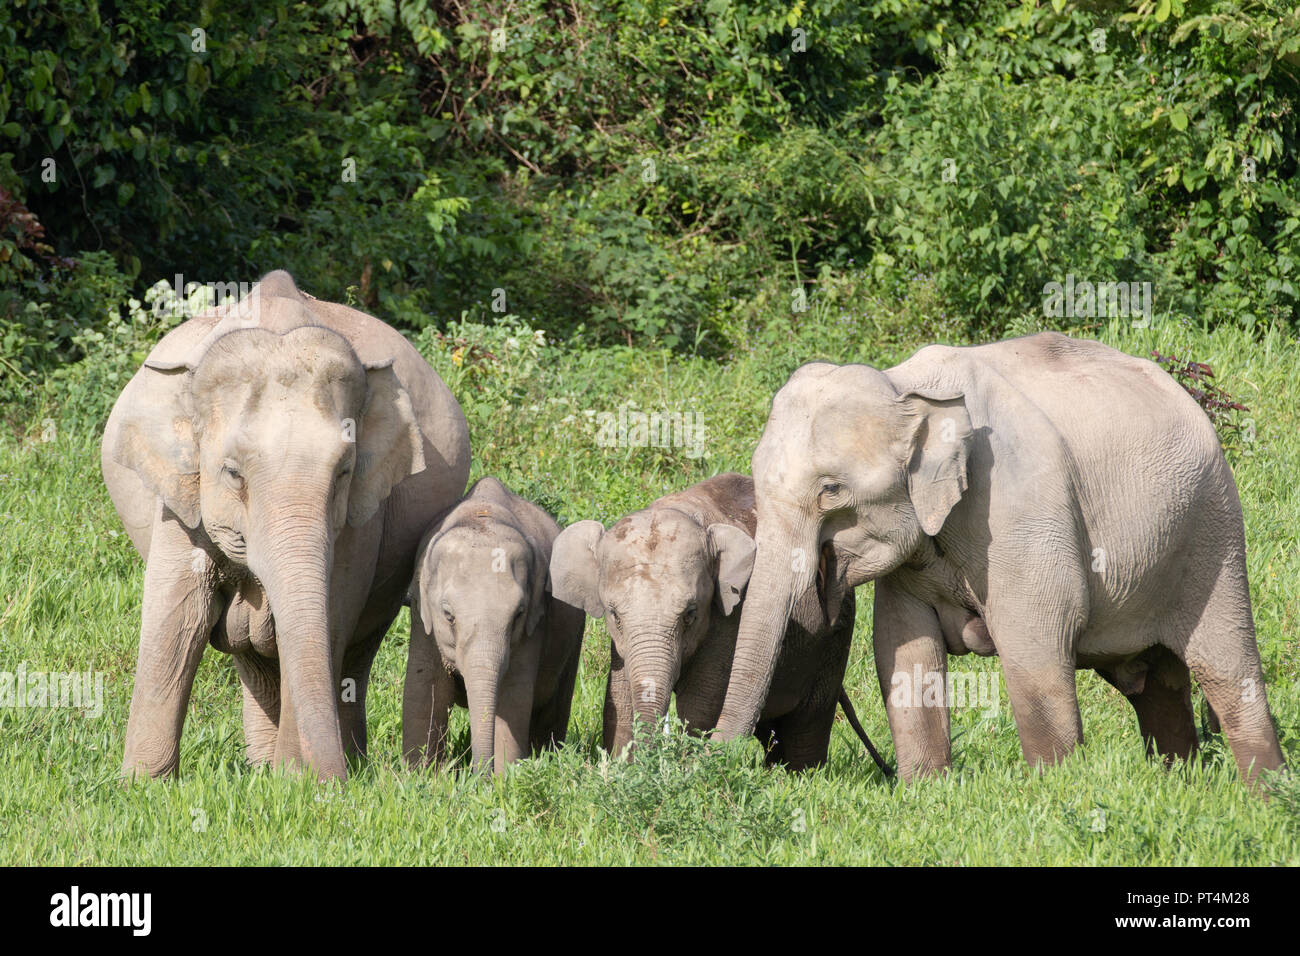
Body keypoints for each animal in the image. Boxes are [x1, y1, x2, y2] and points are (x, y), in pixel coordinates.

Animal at [102, 270, 470, 782]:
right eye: (232, 473)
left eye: (344, 472)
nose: (333, 782)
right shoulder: (179, 498)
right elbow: (178, 613)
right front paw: (143, 784)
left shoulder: (361, 517)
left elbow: (330, 618)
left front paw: (297, 782)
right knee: (252, 654)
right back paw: (264, 767)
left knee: (352, 648)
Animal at [403, 477, 585, 774]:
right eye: (448, 615)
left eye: (518, 615)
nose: (478, 777)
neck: (482, 515)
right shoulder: (423, 618)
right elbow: (425, 686)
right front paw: (421, 775)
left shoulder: (536, 623)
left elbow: (513, 695)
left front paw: (505, 778)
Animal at [551, 472, 890, 773]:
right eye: (614, 615)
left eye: (690, 614)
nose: (650, 763)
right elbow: (620, 700)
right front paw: (624, 769)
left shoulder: (730, 615)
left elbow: (700, 703)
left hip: (836, 632)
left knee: (808, 724)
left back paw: (800, 776)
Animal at [712, 331, 1285, 790]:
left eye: (831, 490)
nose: (717, 761)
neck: (907, 386)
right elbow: (902, 645)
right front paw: (926, 794)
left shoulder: (1018, 507)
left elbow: (1037, 637)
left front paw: (1055, 795)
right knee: (1159, 689)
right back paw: (1182, 786)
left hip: (1212, 532)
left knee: (1227, 671)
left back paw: (1263, 800)